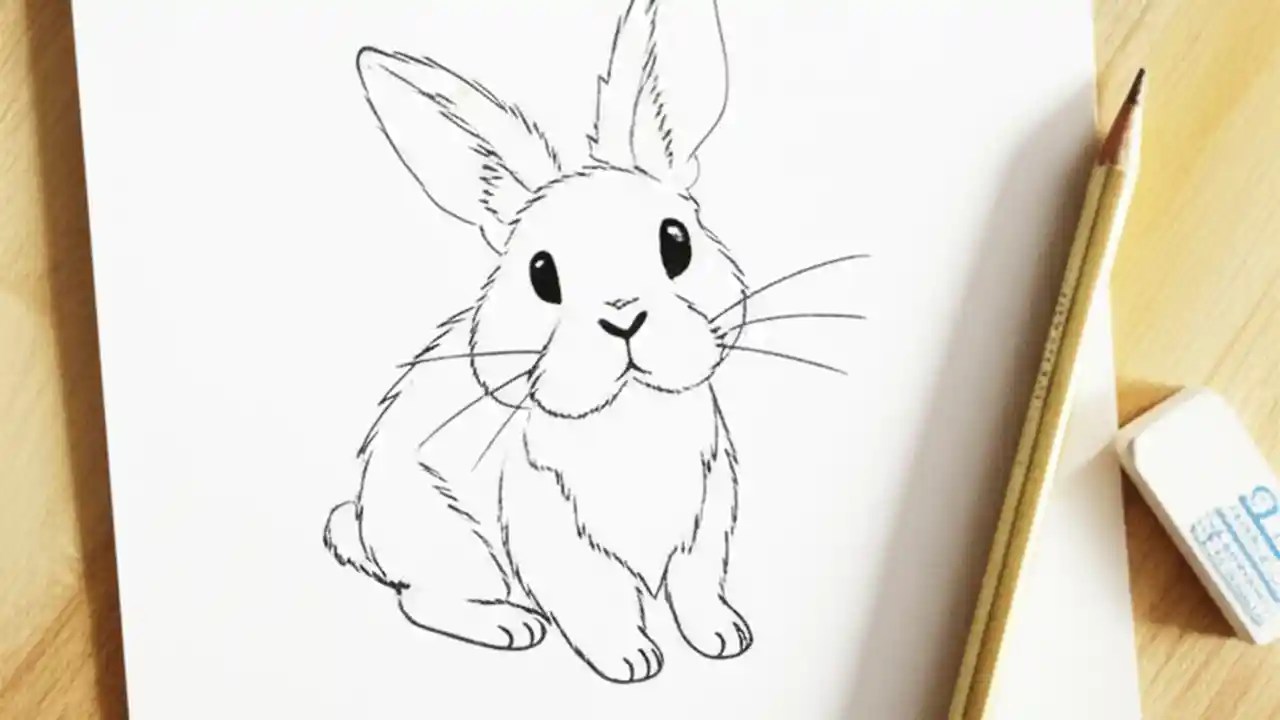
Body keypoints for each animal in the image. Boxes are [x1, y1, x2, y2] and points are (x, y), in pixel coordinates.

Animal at [324, 0, 755, 684]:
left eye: (676, 241)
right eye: (541, 273)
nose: (623, 317)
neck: (631, 419)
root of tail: (365, 528)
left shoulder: (707, 520)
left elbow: (698, 587)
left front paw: (723, 637)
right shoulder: (553, 534)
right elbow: (597, 601)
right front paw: (631, 660)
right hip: (459, 547)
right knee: (421, 600)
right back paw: (509, 625)